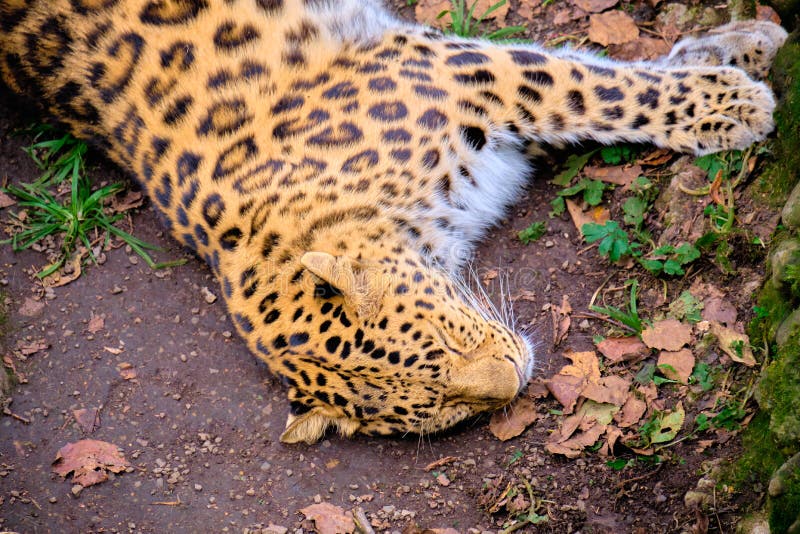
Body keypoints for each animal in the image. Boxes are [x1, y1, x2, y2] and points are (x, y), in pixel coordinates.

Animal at [0, 0, 787, 444]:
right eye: (442, 409)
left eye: (446, 340)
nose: (520, 377)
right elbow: (594, 88)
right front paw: (733, 59)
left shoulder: (465, 73)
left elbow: (600, 86)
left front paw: (736, 87)